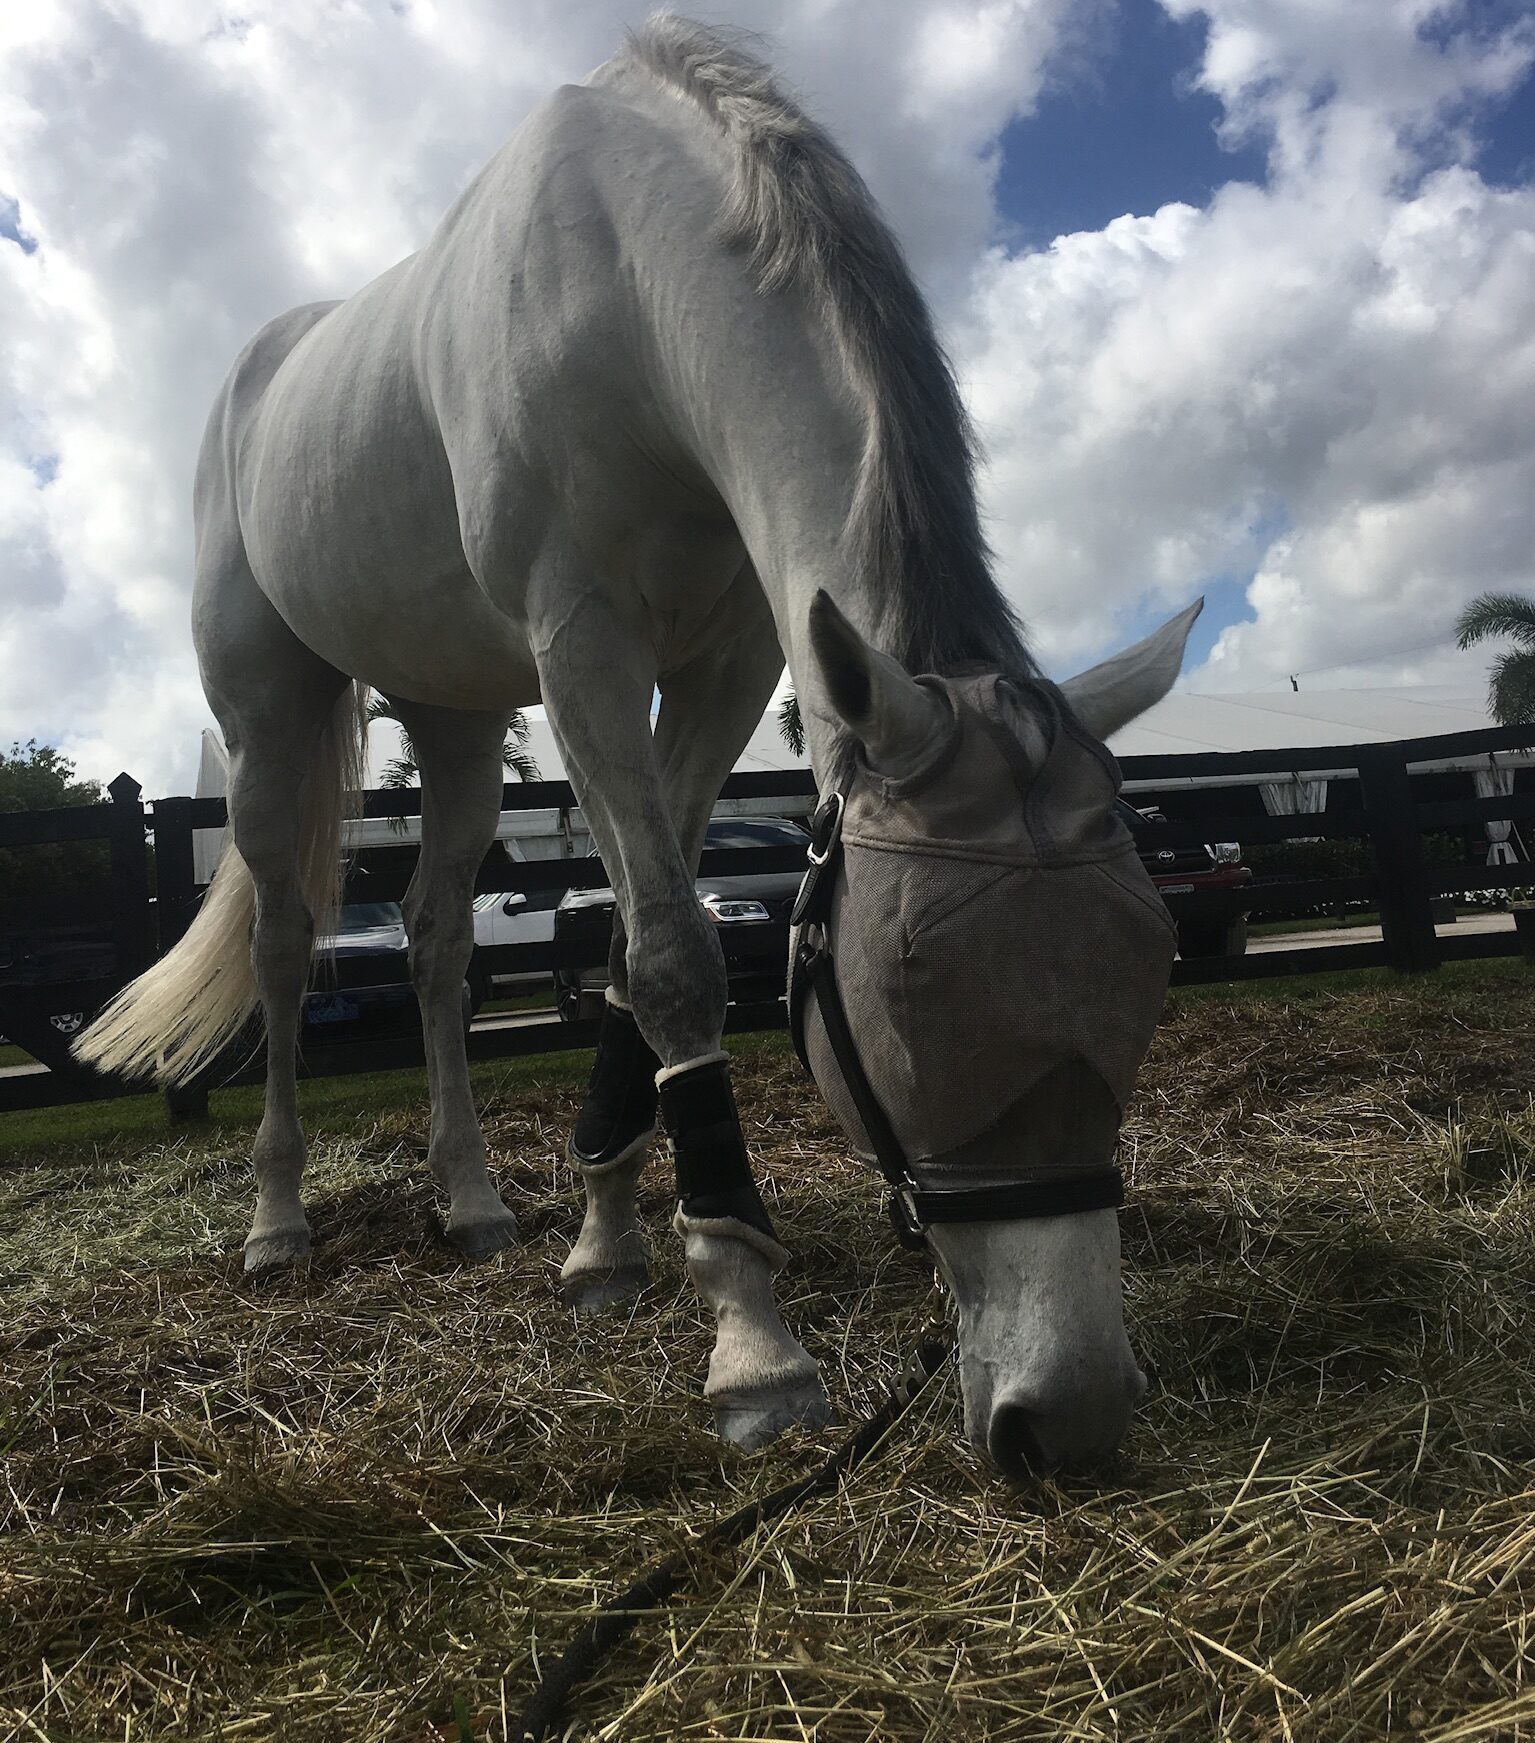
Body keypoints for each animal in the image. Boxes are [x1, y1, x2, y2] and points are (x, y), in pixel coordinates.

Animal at [76, 14, 1199, 1474]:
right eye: (904, 983)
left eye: (1148, 951)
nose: (1064, 1416)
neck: (619, 287)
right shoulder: (585, 648)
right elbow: (668, 956)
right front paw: (751, 1344)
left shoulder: (726, 667)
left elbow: (623, 945)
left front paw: (603, 1245)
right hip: (266, 719)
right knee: (279, 942)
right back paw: (279, 1224)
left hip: (455, 723)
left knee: (435, 940)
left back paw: (472, 1203)